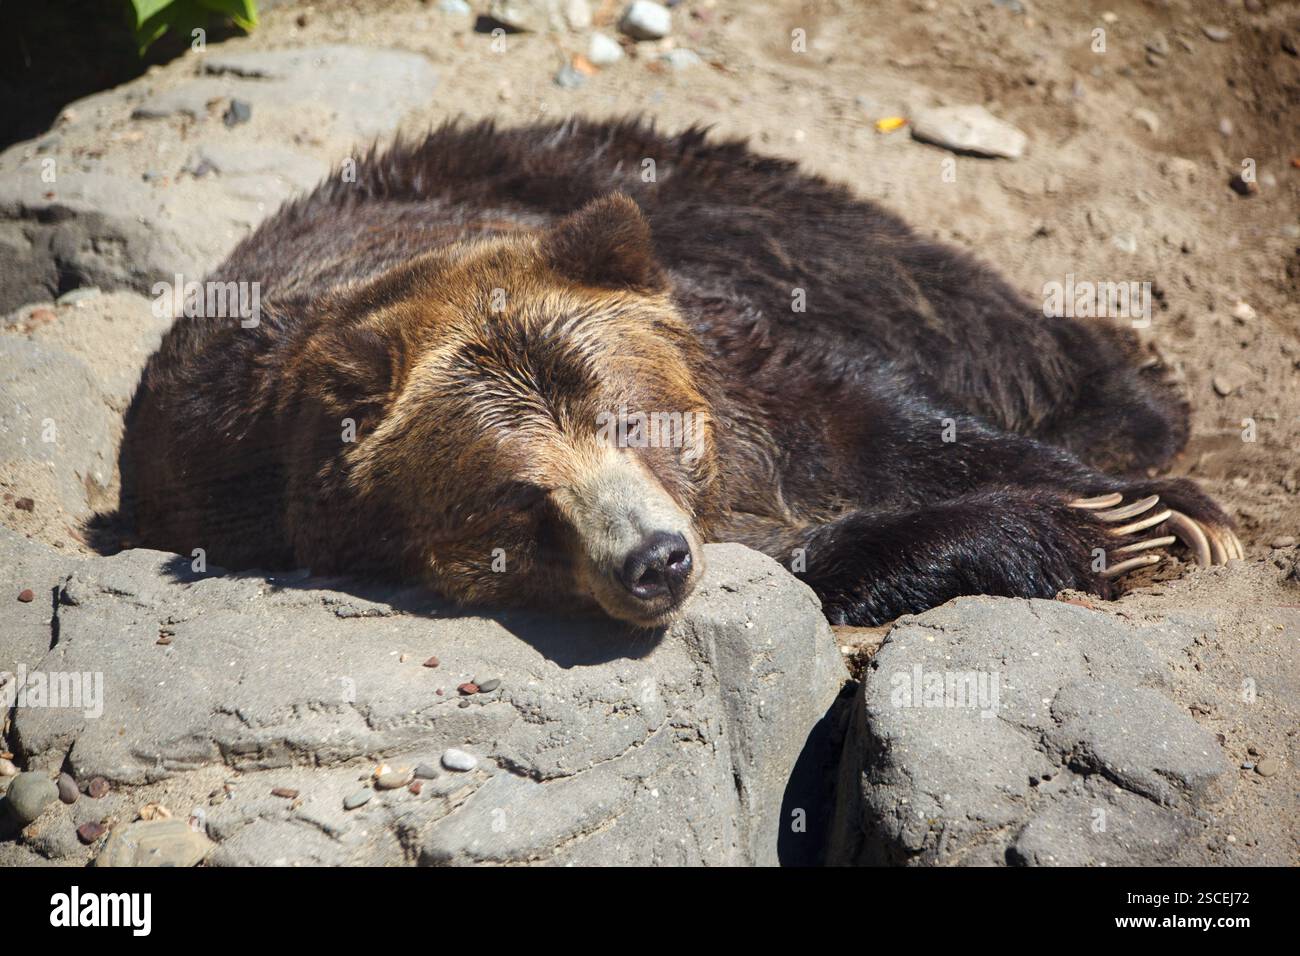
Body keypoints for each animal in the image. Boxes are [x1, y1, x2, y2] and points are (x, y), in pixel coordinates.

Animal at [117, 118, 1240, 628]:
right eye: (514, 493)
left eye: (631, 422)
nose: (653, 558)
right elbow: (814, 558)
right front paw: (1073, 532)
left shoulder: (741, 352)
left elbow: (881, 420)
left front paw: (1162, 511)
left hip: (642, 182)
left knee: (924, 285)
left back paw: (1122, 405)